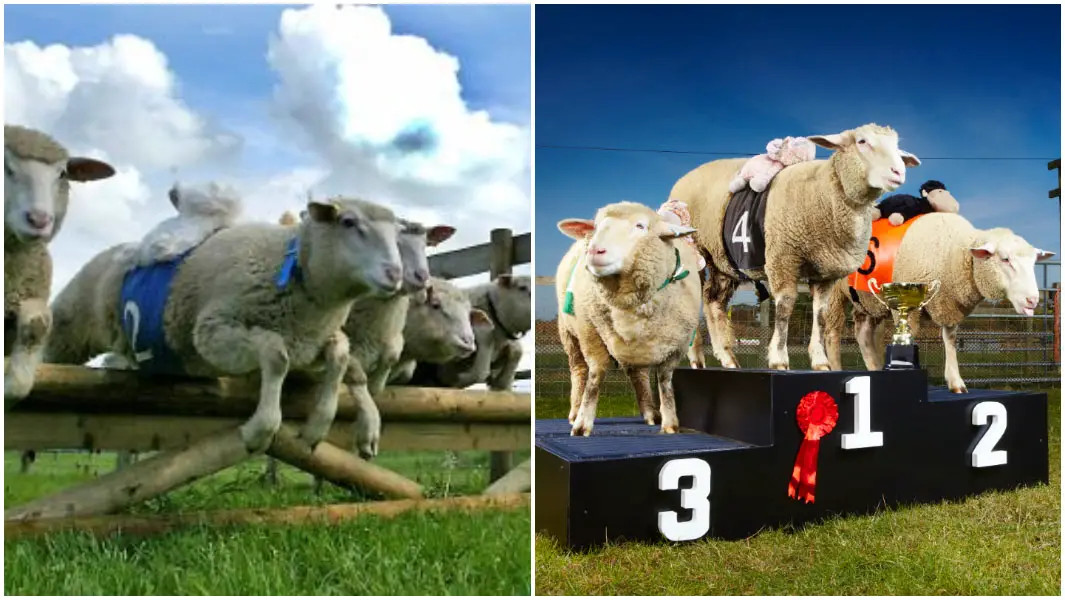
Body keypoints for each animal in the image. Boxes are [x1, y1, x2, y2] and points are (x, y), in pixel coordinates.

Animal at [556, 201, 702, 436]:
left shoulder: (677, 343)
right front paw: (582, 424)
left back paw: (650, 412)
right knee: (579, 370)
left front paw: (670, 424)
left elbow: (665, 380)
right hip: (569, 332)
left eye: (640, 226)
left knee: (639, 375)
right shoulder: (591, 333)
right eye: (596, 227)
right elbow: (595, 375)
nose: (594, 250)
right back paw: (574, 412)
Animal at [671, 123, 920, 371]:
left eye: (897, 148)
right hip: (694, 249)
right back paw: (697, 358)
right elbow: (785, 306)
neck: (825, 194)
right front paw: (779, 359)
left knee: (712, 300)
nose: (899, 173)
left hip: (721, 259)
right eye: (862, 141)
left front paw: (820, 362)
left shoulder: (825, 273)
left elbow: (820, 314)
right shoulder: (783, 257)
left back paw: (727, 358)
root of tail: (684, 178)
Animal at [824, 213, 1054, 393]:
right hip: (834, 292)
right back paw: (834, 368)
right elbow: (911, 337)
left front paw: (955, 381)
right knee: (832, 332)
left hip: (867, 301)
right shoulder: (908, 309)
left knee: (862, 333)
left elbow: (950, 339)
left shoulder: (949, 303)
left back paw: (874, 368)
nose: (1033, 300)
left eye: (1034, 262)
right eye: (1005, 259)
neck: (953, 251)